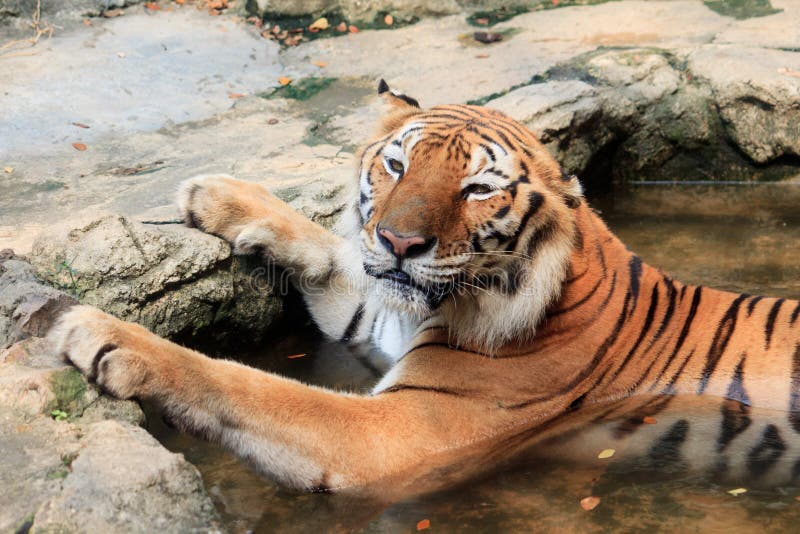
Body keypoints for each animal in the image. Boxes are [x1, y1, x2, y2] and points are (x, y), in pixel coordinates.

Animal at [51, 80, 800, 496]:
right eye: (396, 165)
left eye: (477, 190)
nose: (399, 242)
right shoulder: (377, 315)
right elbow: (329, 251)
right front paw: (217, 194)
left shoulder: (399, 430)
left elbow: (251, 386)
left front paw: (103, 334)